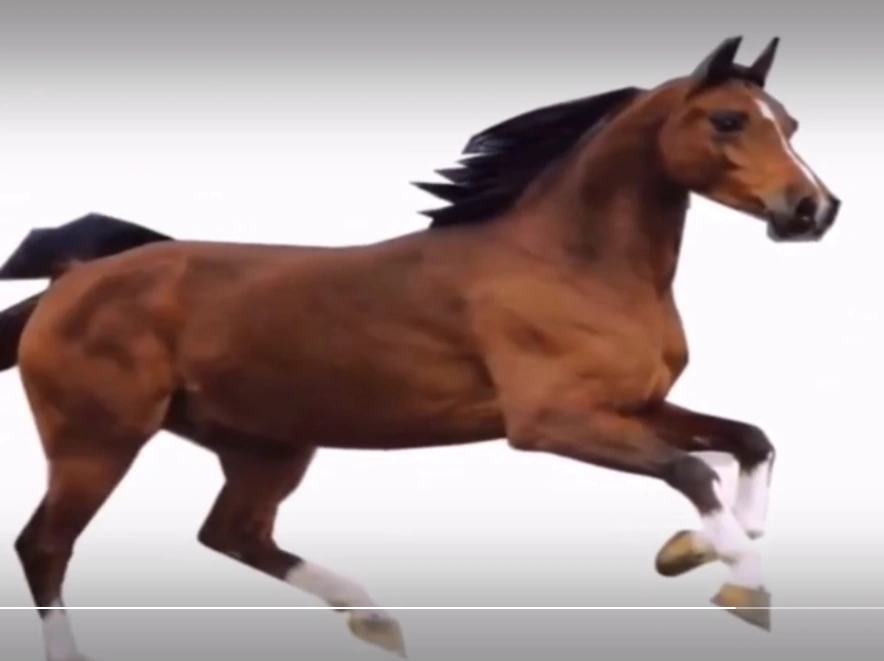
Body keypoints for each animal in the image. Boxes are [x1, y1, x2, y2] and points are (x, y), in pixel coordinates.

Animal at [0, 35, 839, 661]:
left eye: (789, 123)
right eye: (728, 120)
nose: (812, 209)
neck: (571, 261)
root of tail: (71, 281)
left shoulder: (636, 404)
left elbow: (749, 440)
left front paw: (694, 550)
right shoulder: (550, 422)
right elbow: (693, 469)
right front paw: (746, 584)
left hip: (264, 444)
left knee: (233, 532)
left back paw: (375, 618)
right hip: (98, 440)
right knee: (45, 545)